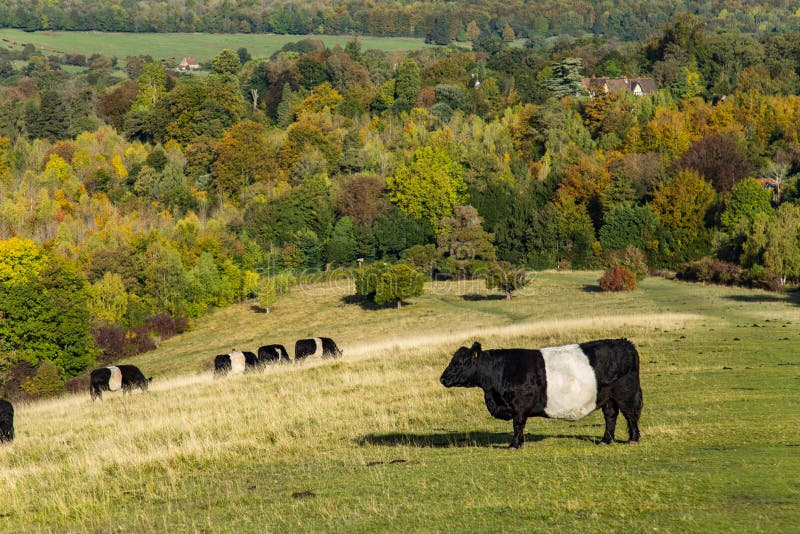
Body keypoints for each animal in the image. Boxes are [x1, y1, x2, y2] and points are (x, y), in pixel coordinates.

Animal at [439, 339, 642, 449]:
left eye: (459, 363)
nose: (442, 379)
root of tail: (625, 342)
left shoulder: (520, 405)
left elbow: (518, 424)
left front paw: (514, 444)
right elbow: (519, 426)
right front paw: (520, 443)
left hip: (625, 394)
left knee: (630, 415)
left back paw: (633, 439)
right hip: (608, 398)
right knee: (611, 416)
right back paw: (605, 440)